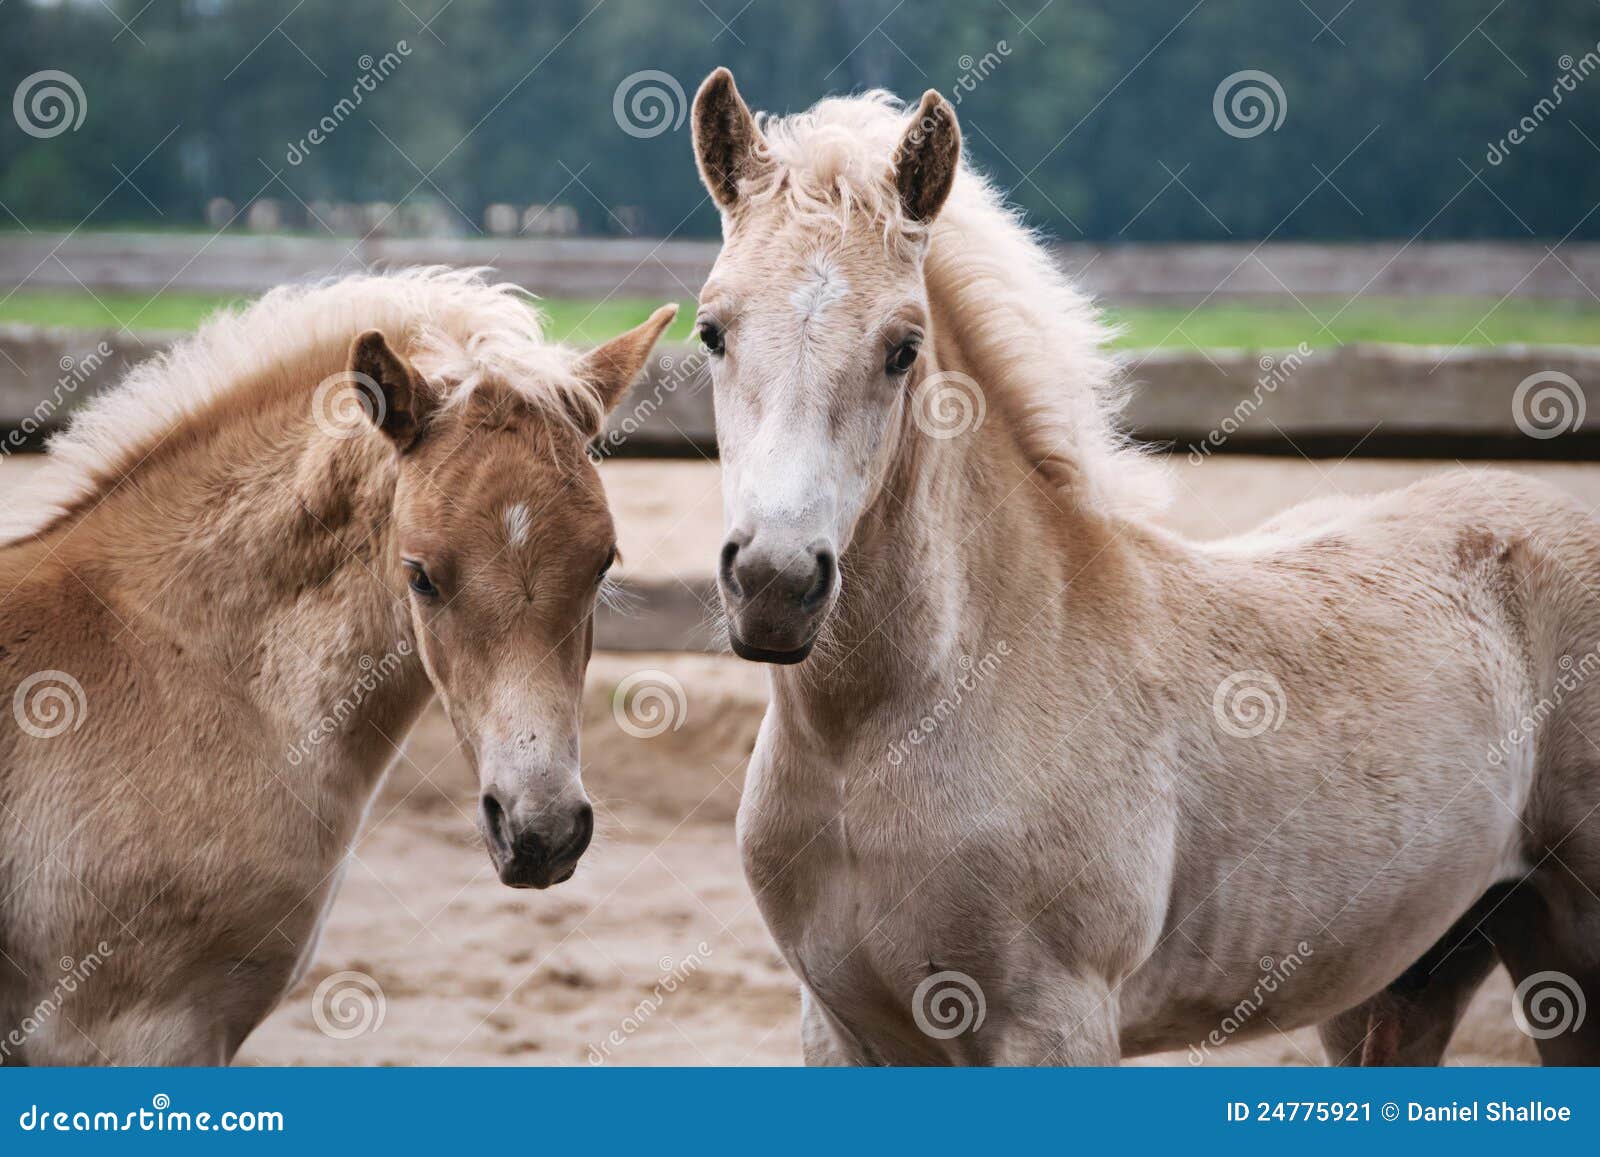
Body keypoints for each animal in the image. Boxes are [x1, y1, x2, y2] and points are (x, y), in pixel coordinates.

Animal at [688, 68, 1600, 1066]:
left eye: (903, 347)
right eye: (711, 332)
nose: (775, 584)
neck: (877, 739)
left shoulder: (1055, 1022)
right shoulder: (840, 1027)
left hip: (1570, 948)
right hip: (1415, 969)